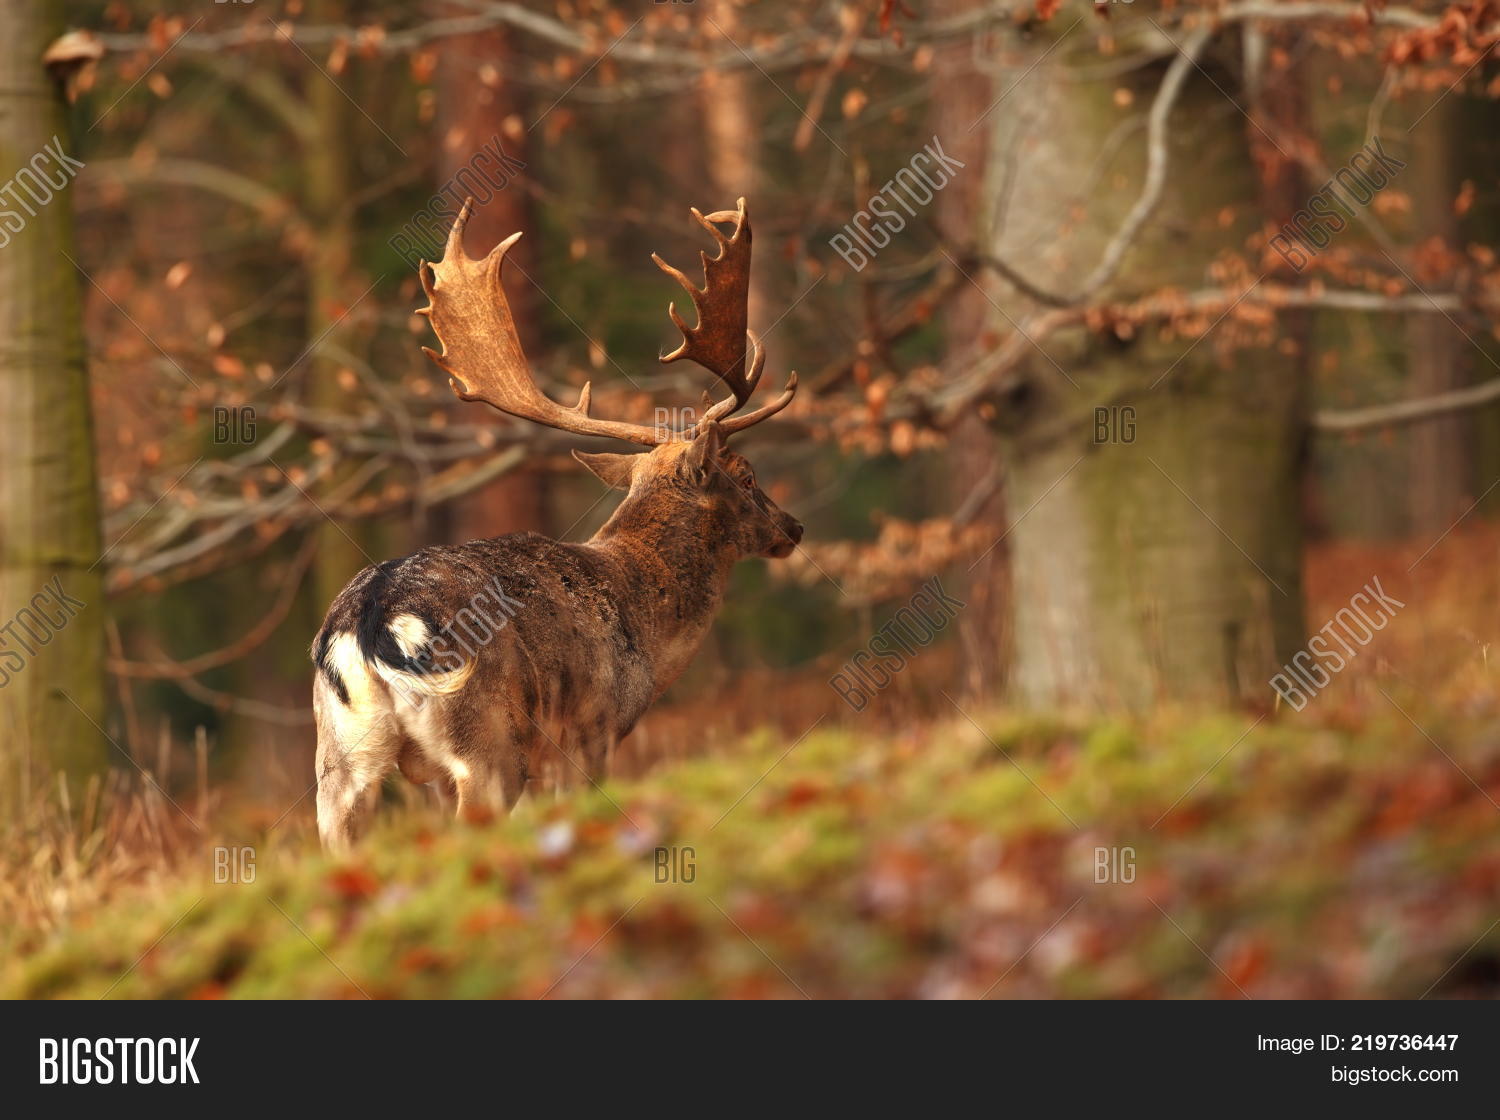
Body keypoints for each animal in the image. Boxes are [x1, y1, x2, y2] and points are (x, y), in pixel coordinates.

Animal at [310, 198, 802, 851]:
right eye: (746, 475)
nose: (794, 528)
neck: (647, 624)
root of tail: (368, 622)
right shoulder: (594, 728)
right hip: (488, 741)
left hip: (340, 764)